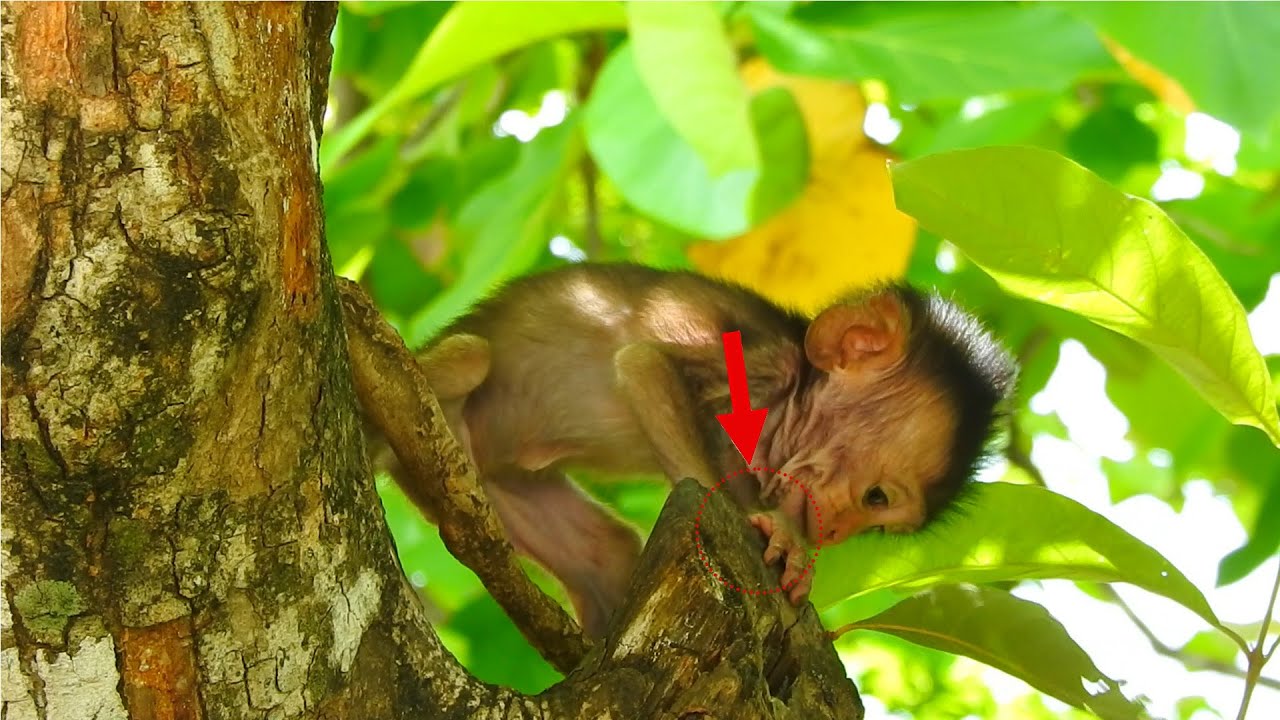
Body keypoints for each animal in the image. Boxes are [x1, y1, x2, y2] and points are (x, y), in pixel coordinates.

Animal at [389, 263, 1016, 637]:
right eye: (877, 496)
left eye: (877, 524)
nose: (836, 530)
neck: (789, 395)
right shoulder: (752, 363)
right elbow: (643, 366)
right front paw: (773, 531)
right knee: (470, 357)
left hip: (492, 485)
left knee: (606, 551)